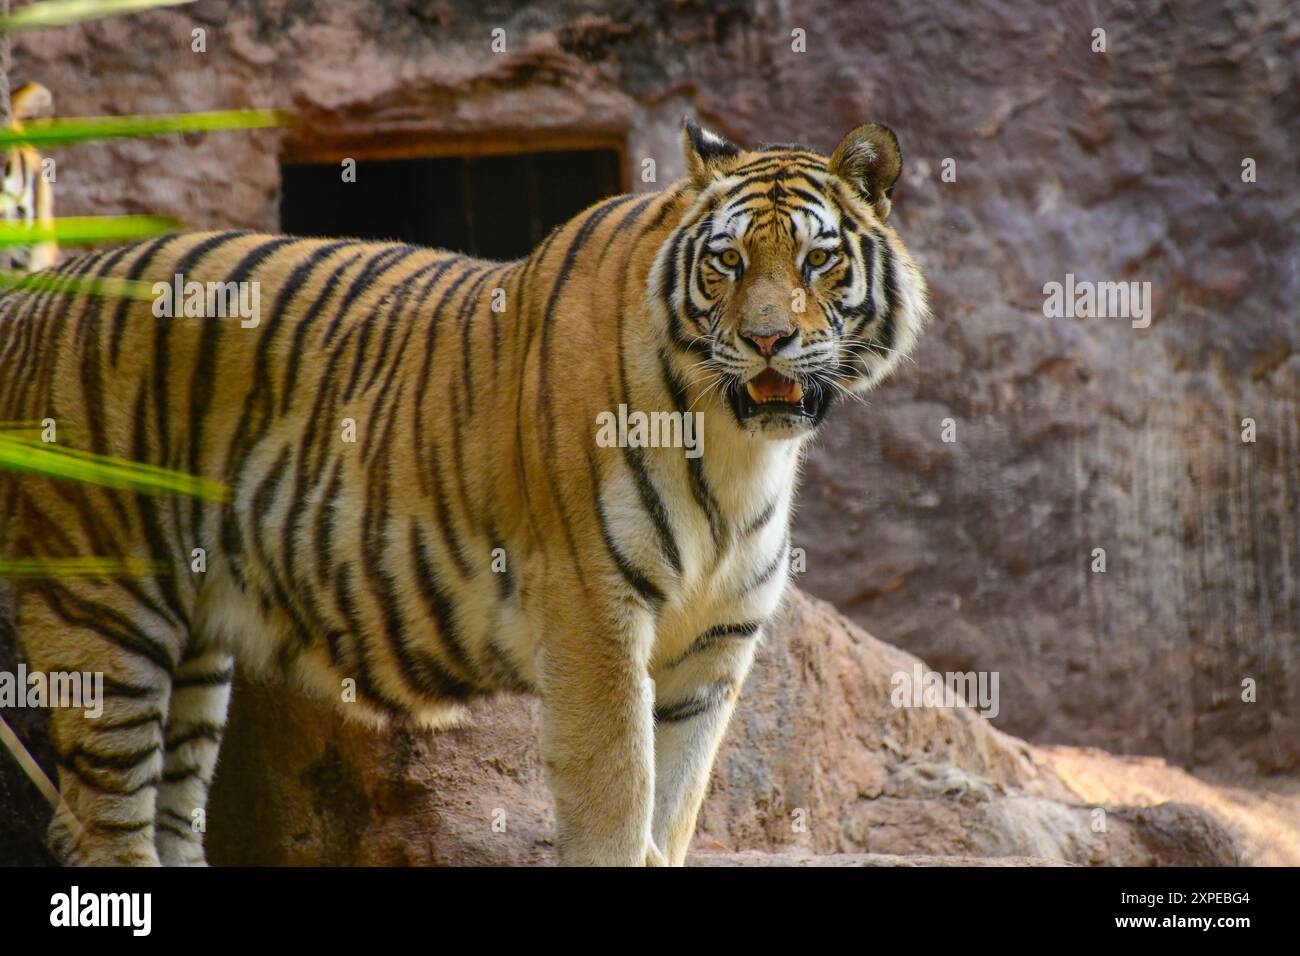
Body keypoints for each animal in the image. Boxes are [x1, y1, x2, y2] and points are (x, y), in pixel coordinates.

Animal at [0, 119, 928, 866]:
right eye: (727, 263)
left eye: (817, 259)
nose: (767, 340)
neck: (738, 447)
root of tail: (37, 296)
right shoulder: (593, 616)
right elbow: (616, 804)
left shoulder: (713, 649)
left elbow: (673, 812)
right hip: (104, 609)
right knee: (105, 826)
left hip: (193, 645)